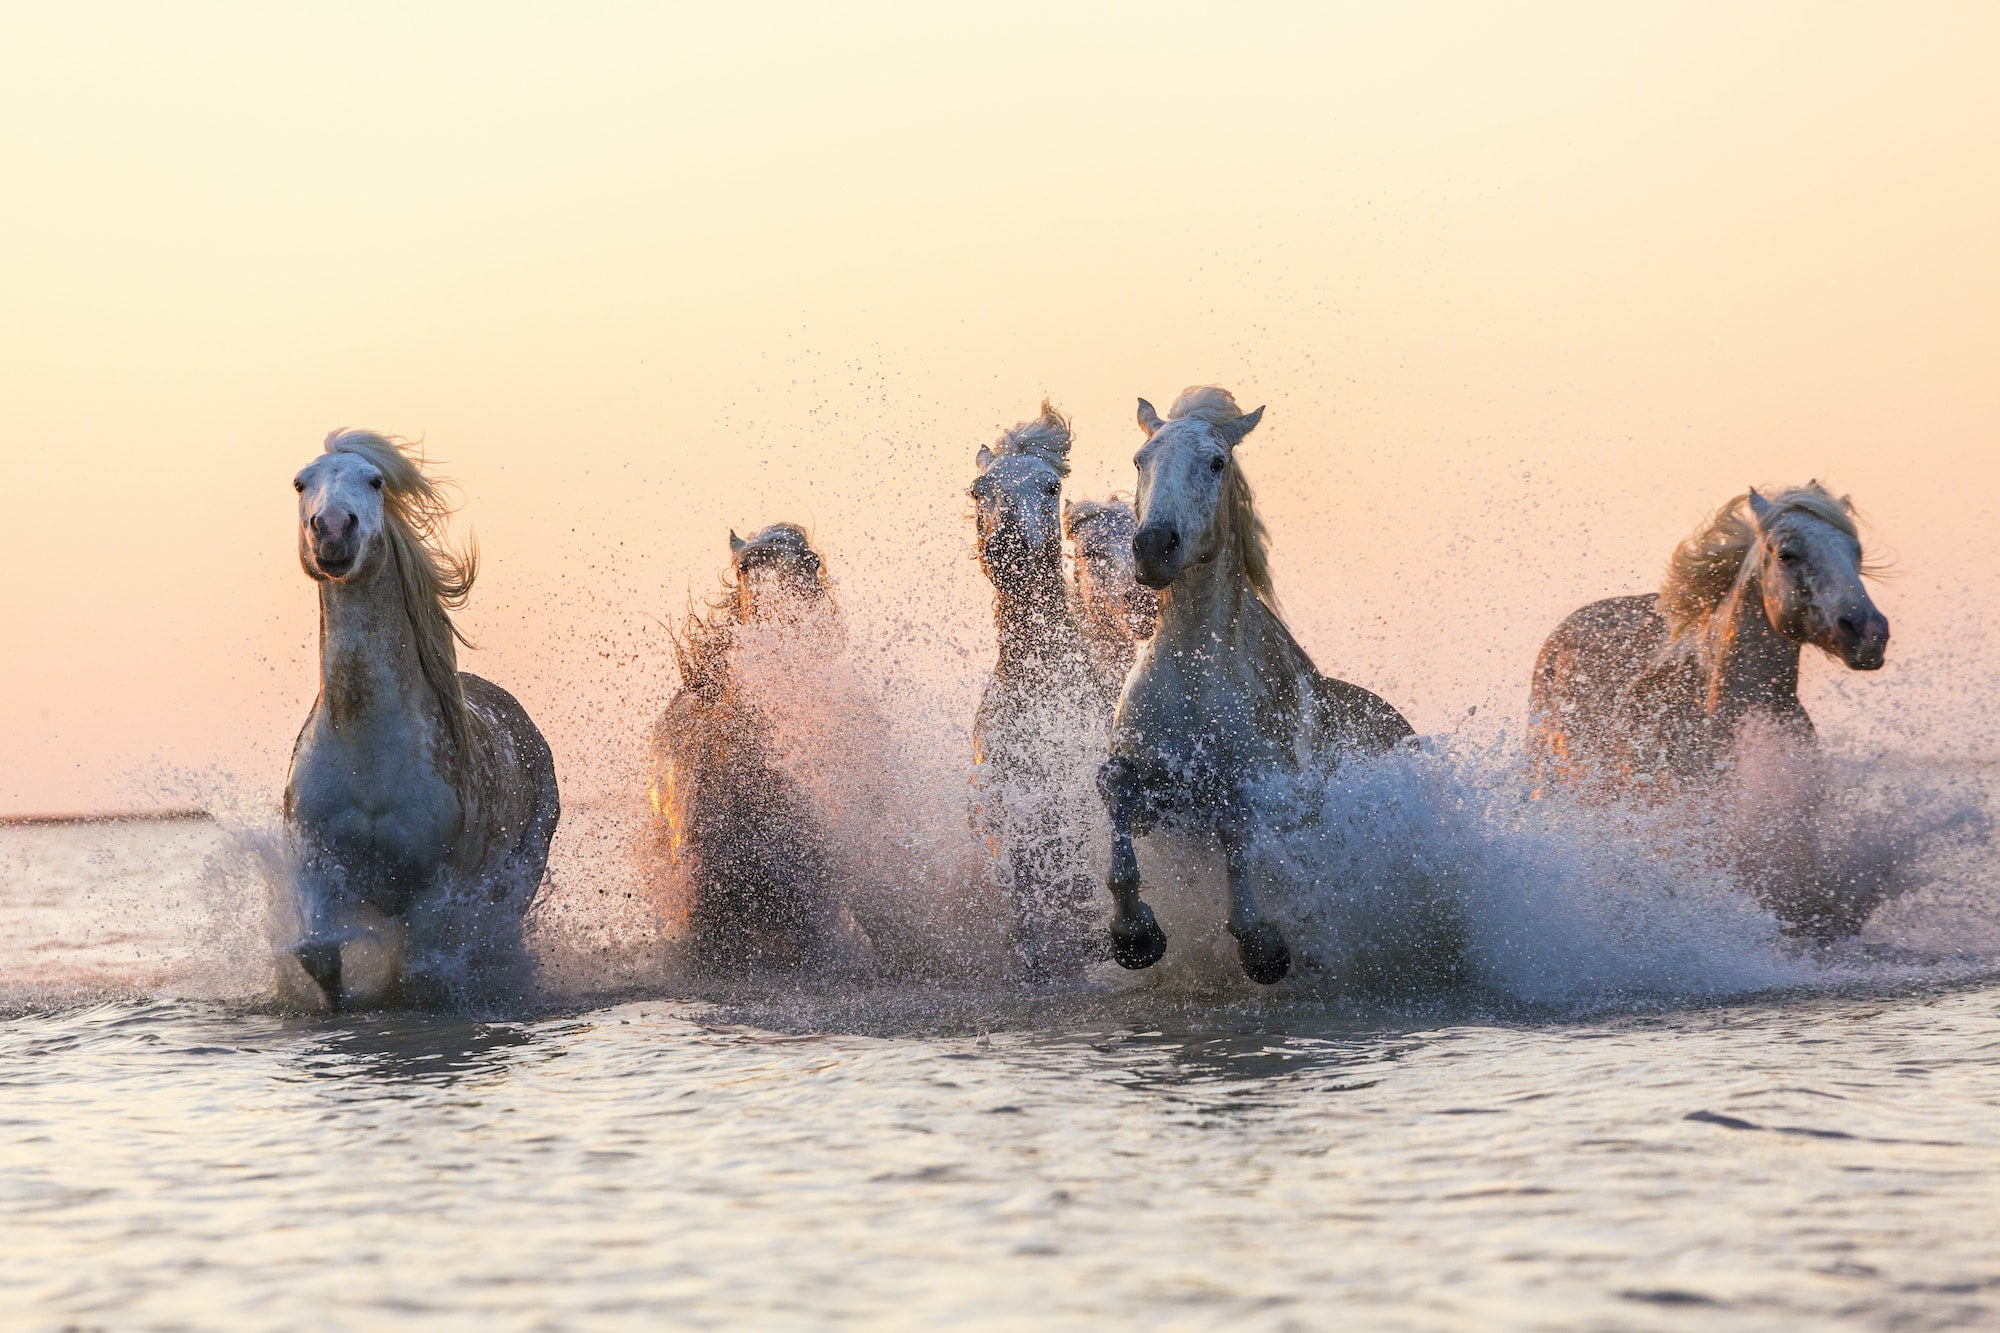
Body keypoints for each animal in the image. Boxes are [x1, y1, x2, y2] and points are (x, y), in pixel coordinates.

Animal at [286, 430, 560, 1011]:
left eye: (375, 481)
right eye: (301, 482)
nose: (333, 528)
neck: (367, 749)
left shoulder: (433, 890)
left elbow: (419, 973)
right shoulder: (317, 867)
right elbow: (318, 955)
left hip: (521, 872)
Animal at [1098, 388, 1414, 985]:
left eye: (1216, 463)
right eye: (1140, 460)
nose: (1153, 546)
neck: (1195, 675)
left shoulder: (1261, 792)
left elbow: (1238, 829)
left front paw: (1261, 946)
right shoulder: (1159, 791)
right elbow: (1116, 794)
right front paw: (1135, 934)